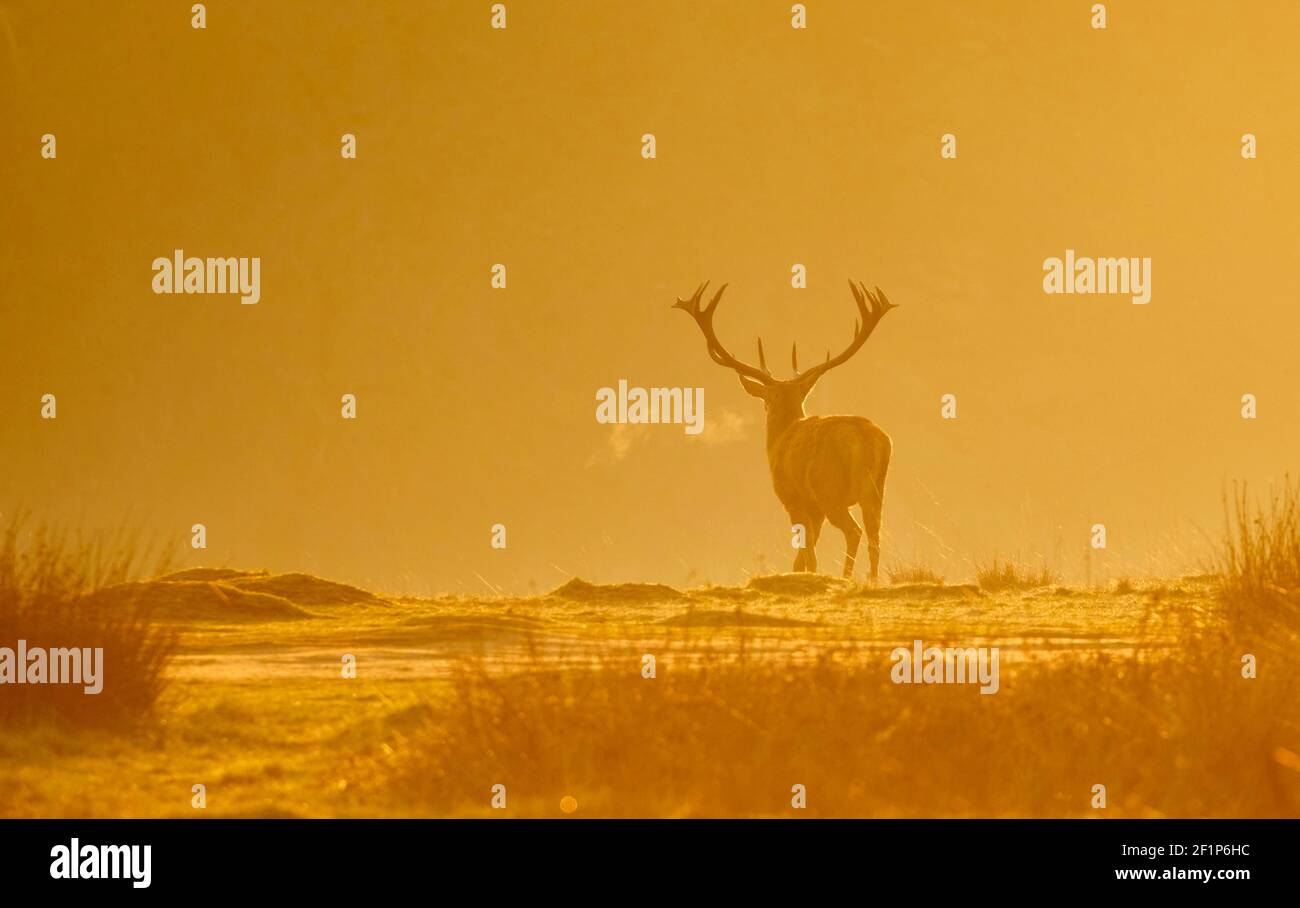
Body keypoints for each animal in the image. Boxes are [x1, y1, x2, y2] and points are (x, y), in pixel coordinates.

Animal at [674, 280, 896, 580]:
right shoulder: (813, 508)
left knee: (854, 531)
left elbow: (806, 552)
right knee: (875, 536)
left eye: (766, 400)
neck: (781, 437)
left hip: (830, 490)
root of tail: (867, 439)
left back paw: (846, 577)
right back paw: (871, 580)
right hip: (876, 490)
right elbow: (801, 556)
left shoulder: (793, 498)